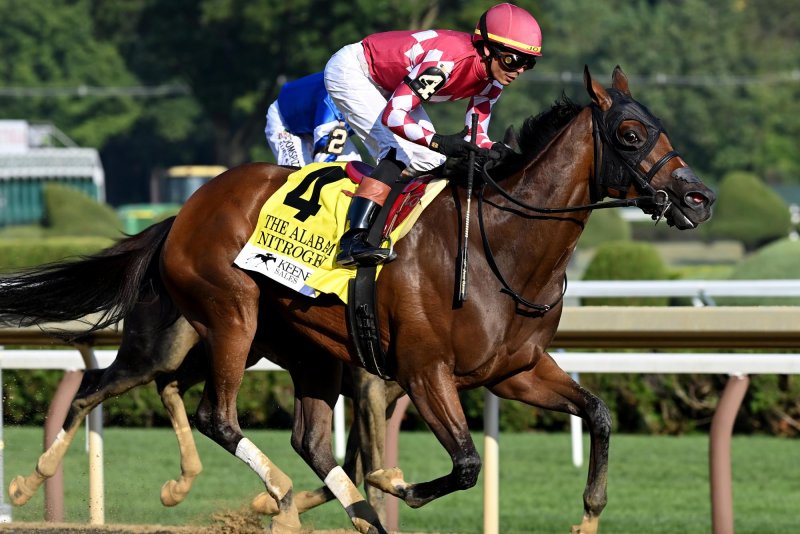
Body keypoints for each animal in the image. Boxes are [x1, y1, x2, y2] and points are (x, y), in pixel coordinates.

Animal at [0, 66, 715, 533]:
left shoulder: (512, 371)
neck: (499, 247)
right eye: (629, 133)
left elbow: (598, 413)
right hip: (226, 318)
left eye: (660, 126)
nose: (700, 198)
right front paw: (393, 483)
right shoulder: (422, 373)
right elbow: (463, 464)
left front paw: (589, 513)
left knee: (288, 433)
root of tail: (182, 212)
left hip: (293, 350)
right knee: (198, 410)